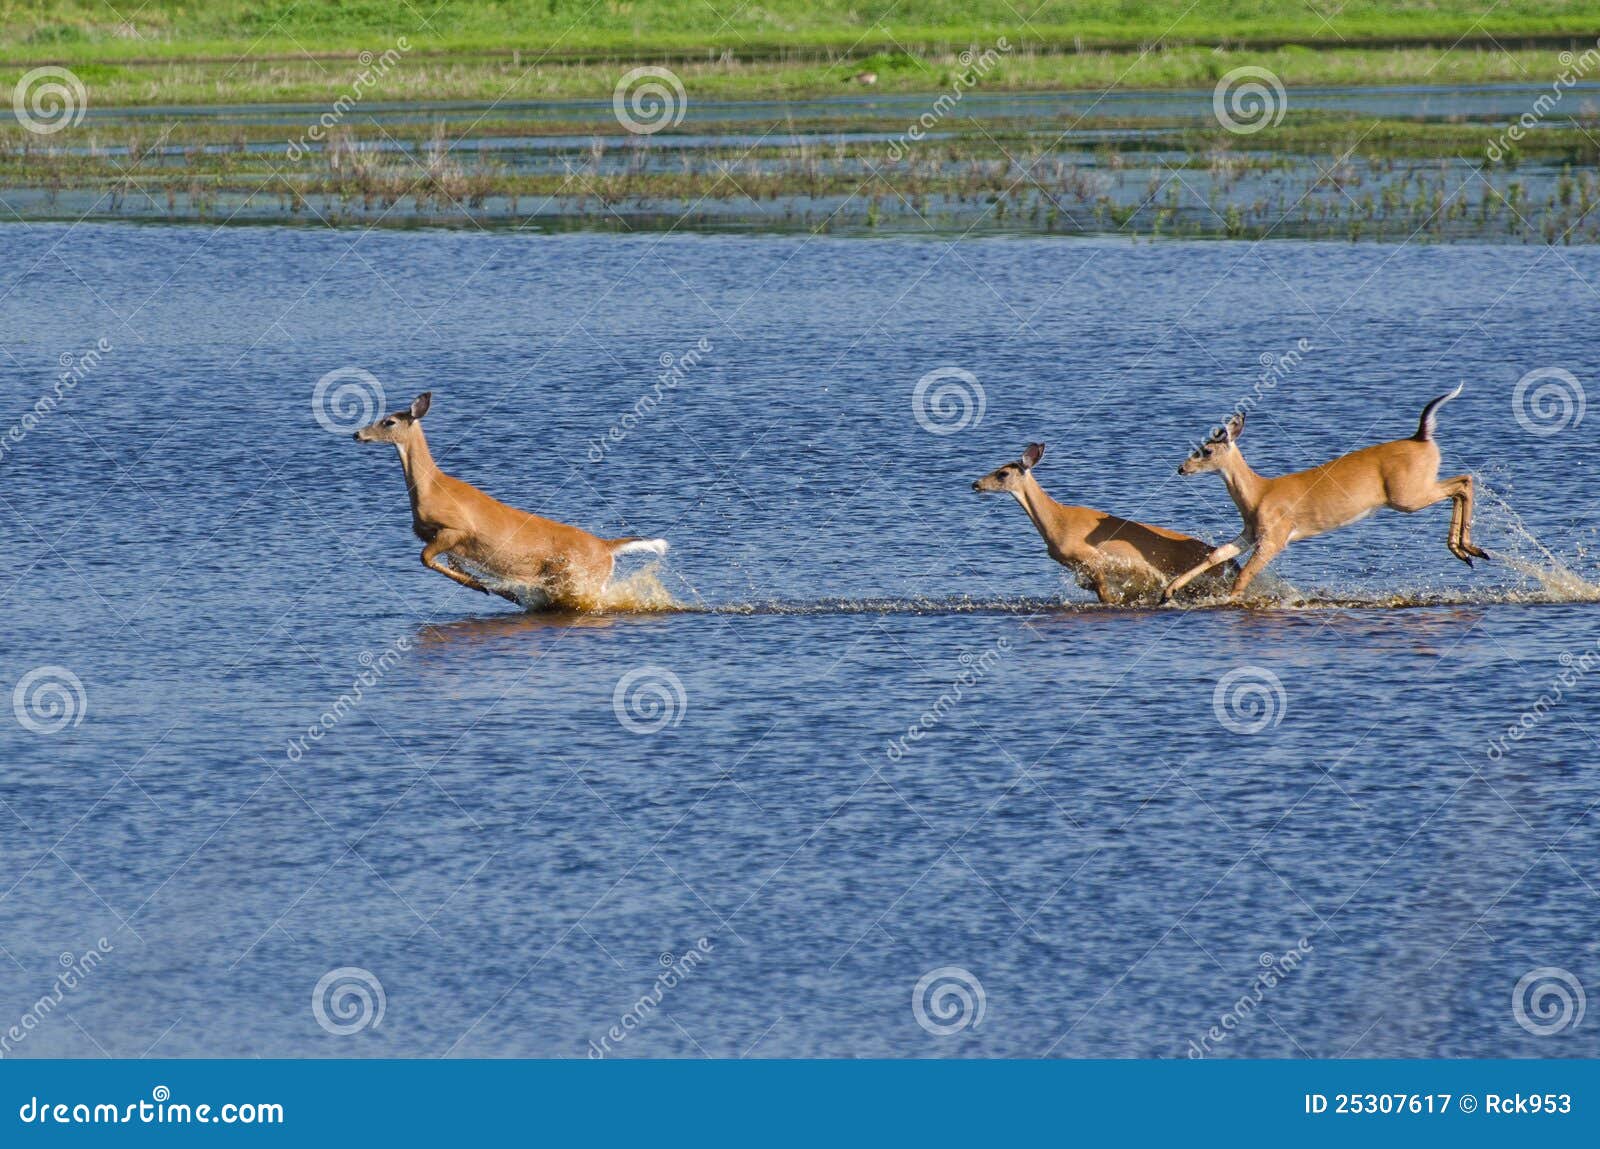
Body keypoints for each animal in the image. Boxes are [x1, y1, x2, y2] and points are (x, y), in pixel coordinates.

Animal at [351, 393, 667, 608]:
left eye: (389, 421)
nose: (357, 433)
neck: (431, 488)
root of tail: (607, 547)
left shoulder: (456, 529)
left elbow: (425, 559)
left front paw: (484, 587)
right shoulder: (448, 541)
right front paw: (499, 590)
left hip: (583, 578)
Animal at [973, 442, 1237, 604]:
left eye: (1003, 473)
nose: (975, 484)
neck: (1056, 521)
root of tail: (1230, 562)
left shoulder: (1092, 558)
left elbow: (1104, 594)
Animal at [1161, 385, 1489, 602]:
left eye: (1206, 450)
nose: (1181, 468)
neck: (1258, 493)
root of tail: (1421, 436)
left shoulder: (1275, 538)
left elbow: (1243, 574)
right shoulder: (1251, 533)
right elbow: (1216, 554)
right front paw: (1167, 592)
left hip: (1408, 497)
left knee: (1463, 482)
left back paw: (1470, 551)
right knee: (1463, 482)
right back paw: (1468, 552)